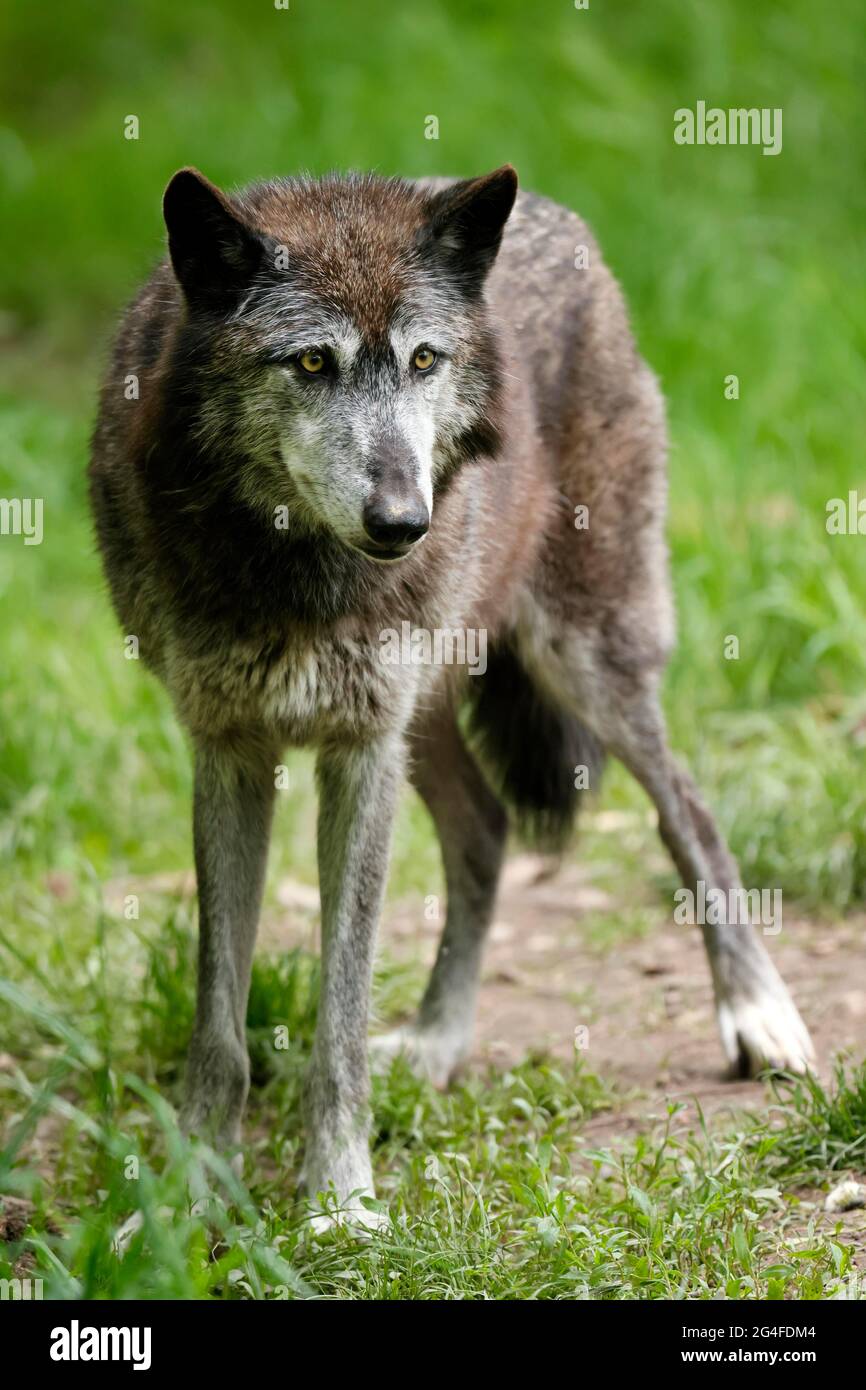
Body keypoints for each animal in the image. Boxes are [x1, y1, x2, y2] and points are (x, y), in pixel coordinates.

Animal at [89, 164, 814, 1227]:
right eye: (312, 363)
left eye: (424, 359)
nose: (404, 521)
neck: (293, 569)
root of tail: (555, 212)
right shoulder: (231, 750)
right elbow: (219, 1022)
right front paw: (189, 1198)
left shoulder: (358, 752)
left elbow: (340, 1012)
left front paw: (339, 1201)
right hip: (427, 719)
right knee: (485, 828)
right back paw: (438, 1042)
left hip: (580, 660)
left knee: (690, 811)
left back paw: (760, 1019)